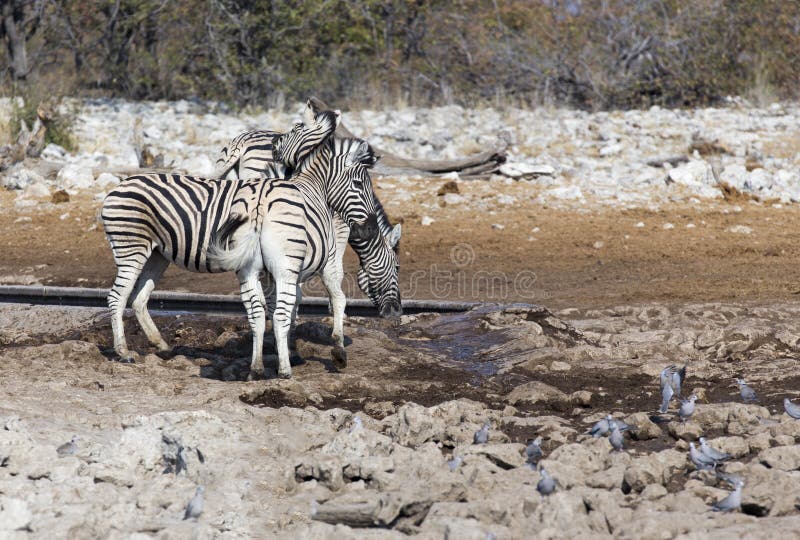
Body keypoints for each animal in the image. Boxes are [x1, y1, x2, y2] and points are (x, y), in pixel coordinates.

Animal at [101, 111, 400, 379]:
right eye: (397, 266)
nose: (396, 313)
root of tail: (118, 187)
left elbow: (280, 306)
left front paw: (281, 351)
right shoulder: (328, 249)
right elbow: (333, 297)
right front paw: (331, 349)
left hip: (157, 254)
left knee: (139, 298)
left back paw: (162, 346)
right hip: (131, 247)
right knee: (117, 296)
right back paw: (123, 352)